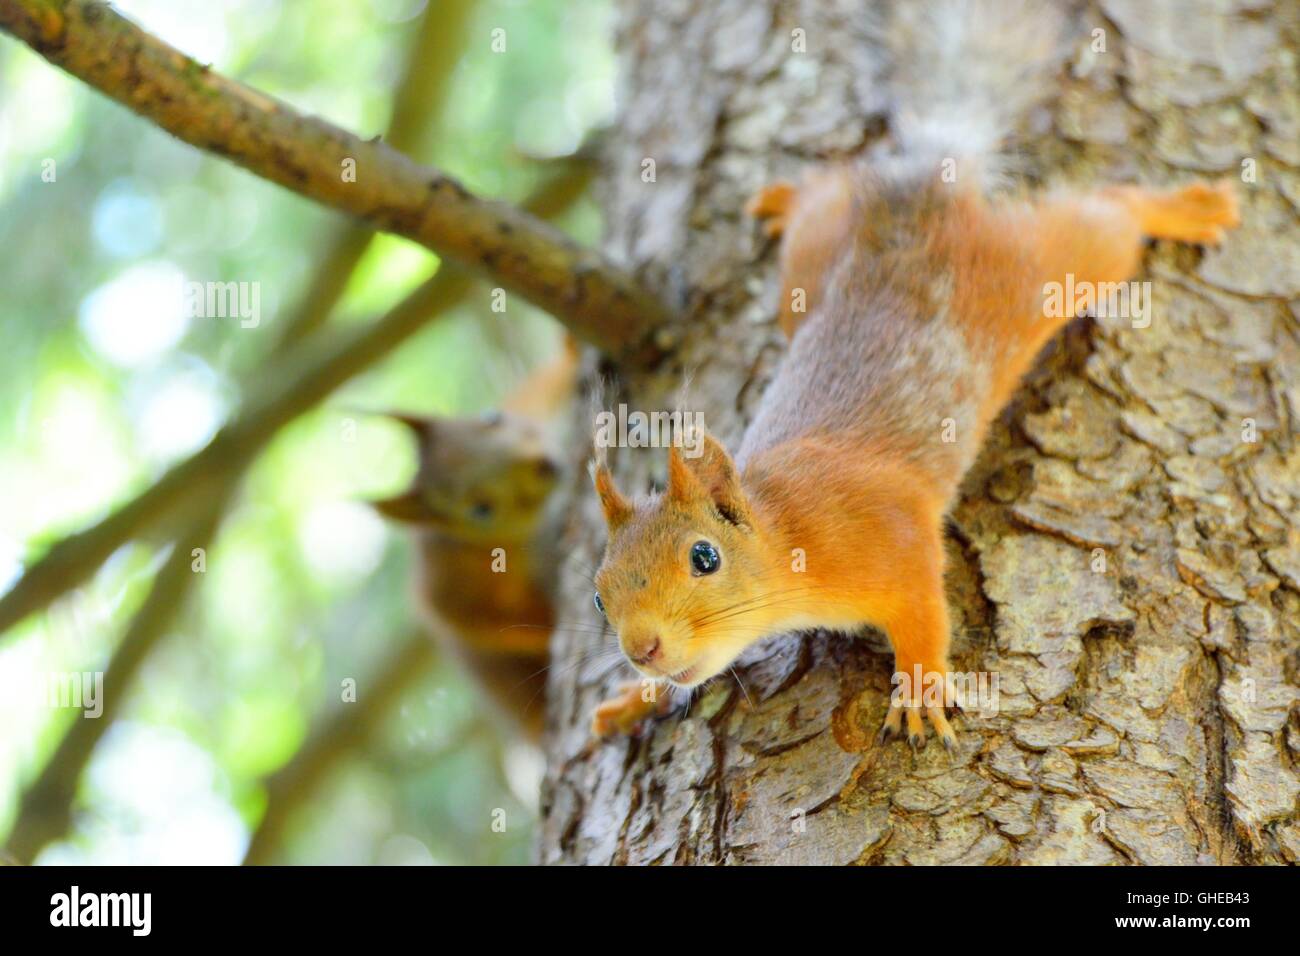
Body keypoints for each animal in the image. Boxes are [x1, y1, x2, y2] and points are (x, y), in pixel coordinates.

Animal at [373, 338, 579, 739]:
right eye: (481, 510)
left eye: (491, 417)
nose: (542, 464)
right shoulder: (450, 582)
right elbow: (479, 622)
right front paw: (552, 624)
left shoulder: (523, 406)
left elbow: (541, 387)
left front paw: (571, 349)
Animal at [587, 0, 1240, 747]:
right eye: (598, 595)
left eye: (704, 558)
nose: (643, 648)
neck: (787, 534)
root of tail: (924, 192)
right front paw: (632, 697)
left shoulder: (891, 535)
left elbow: (925, 606)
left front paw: (922, 688)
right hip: (807, 267)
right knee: (828, 194)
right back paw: (788, 194)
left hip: (1035, 275)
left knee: (1109, 220)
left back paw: (1187, 208)